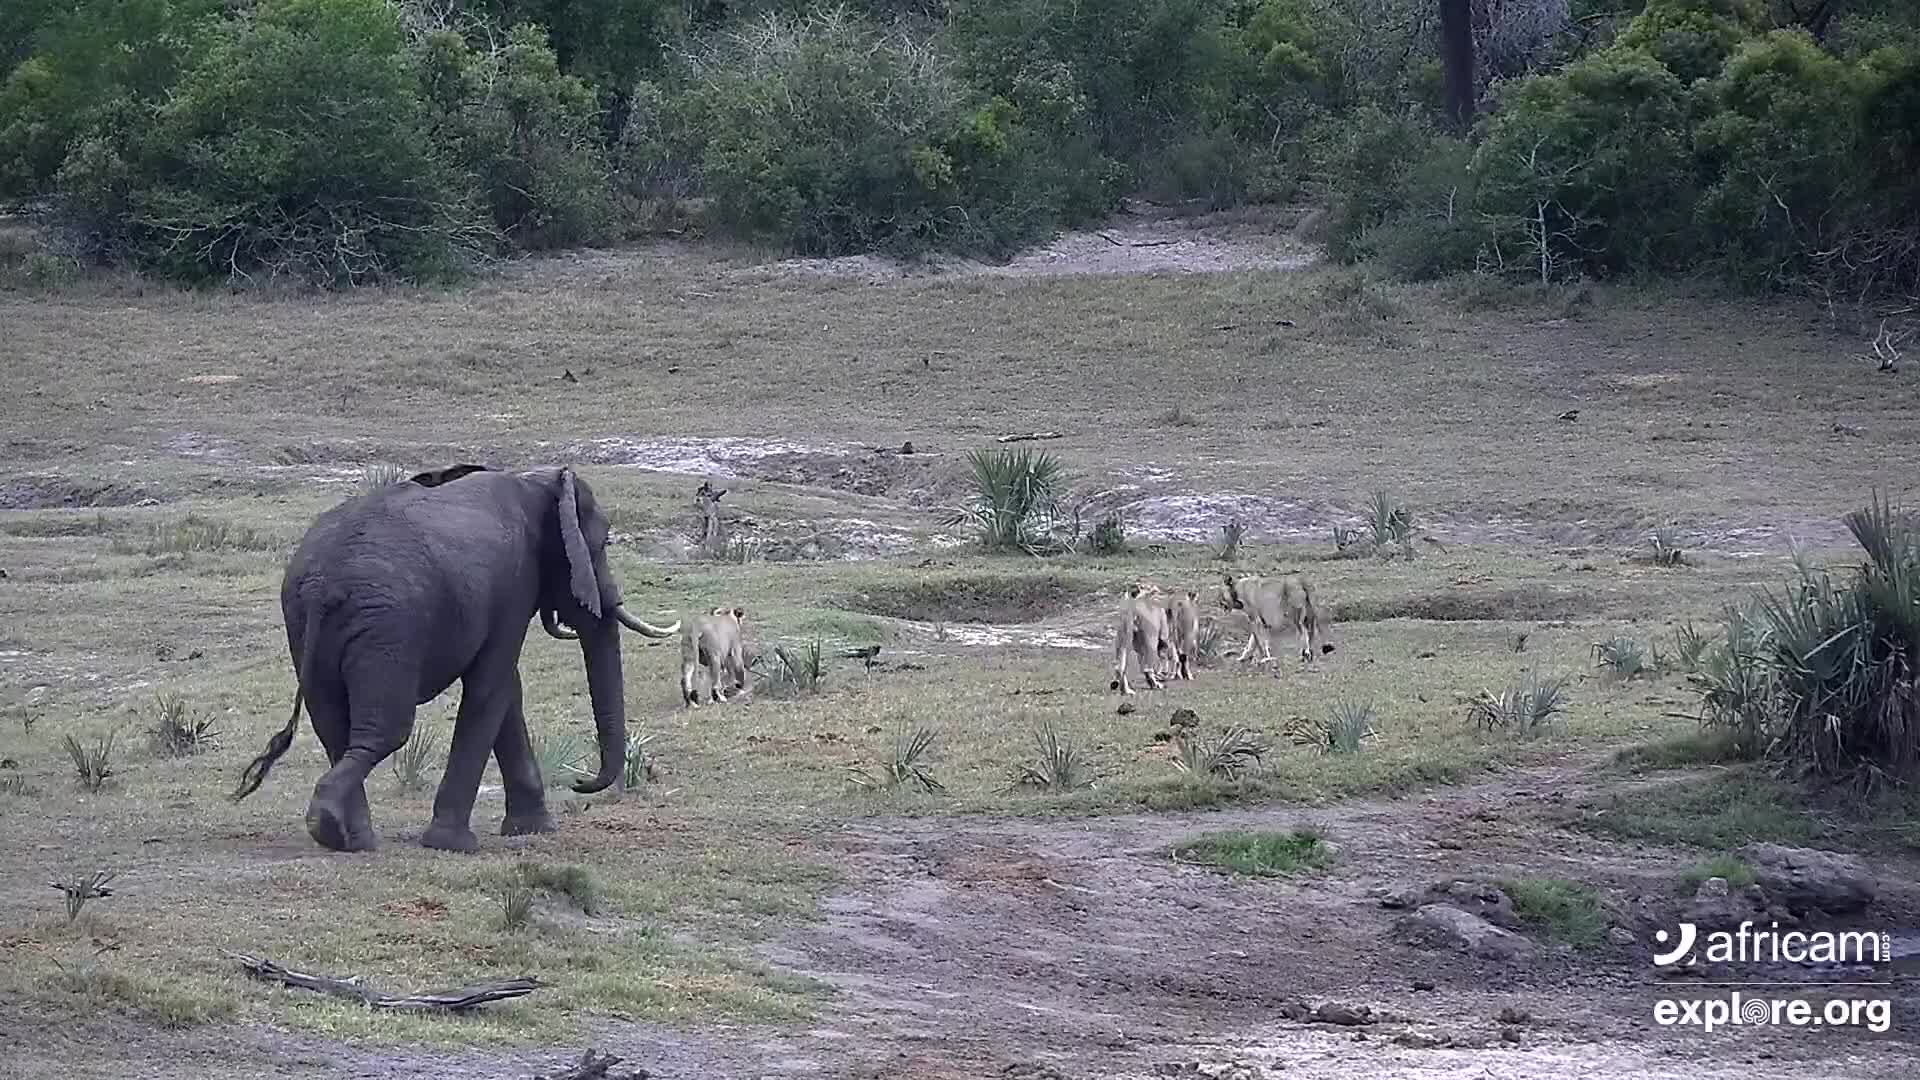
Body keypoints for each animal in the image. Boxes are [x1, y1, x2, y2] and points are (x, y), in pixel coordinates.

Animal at [232, 463, 680, 853]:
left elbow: (505, 692)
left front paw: (532, 829)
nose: (580, 785)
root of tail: (323, 584)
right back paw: (333, 827)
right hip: (389, 628)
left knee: (334, 728)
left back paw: (348, 839)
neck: (535, 481)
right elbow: (491, 688)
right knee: (386, 731)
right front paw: (453, 845)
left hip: (304, 621)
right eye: (602, 544)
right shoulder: (514, 582)